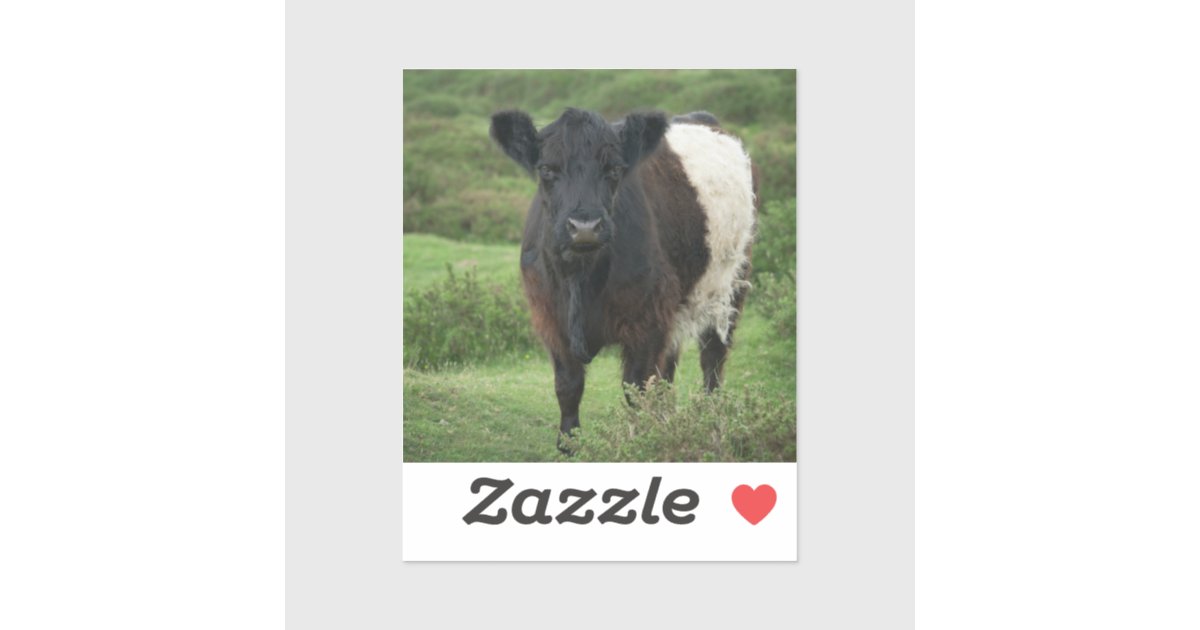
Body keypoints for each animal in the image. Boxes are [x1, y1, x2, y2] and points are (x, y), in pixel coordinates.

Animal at [490, 107, 757, 451]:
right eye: (547, 169)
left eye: (614, 168)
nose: (585, 226)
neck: (582, 276)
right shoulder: (549, 317)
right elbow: (568, 385)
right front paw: (569, 445)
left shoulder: (648, 319)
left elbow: (638, 389)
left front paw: (643, 441)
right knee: (670, 368)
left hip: (730, 285)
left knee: (713, 358)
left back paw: (712, 423)